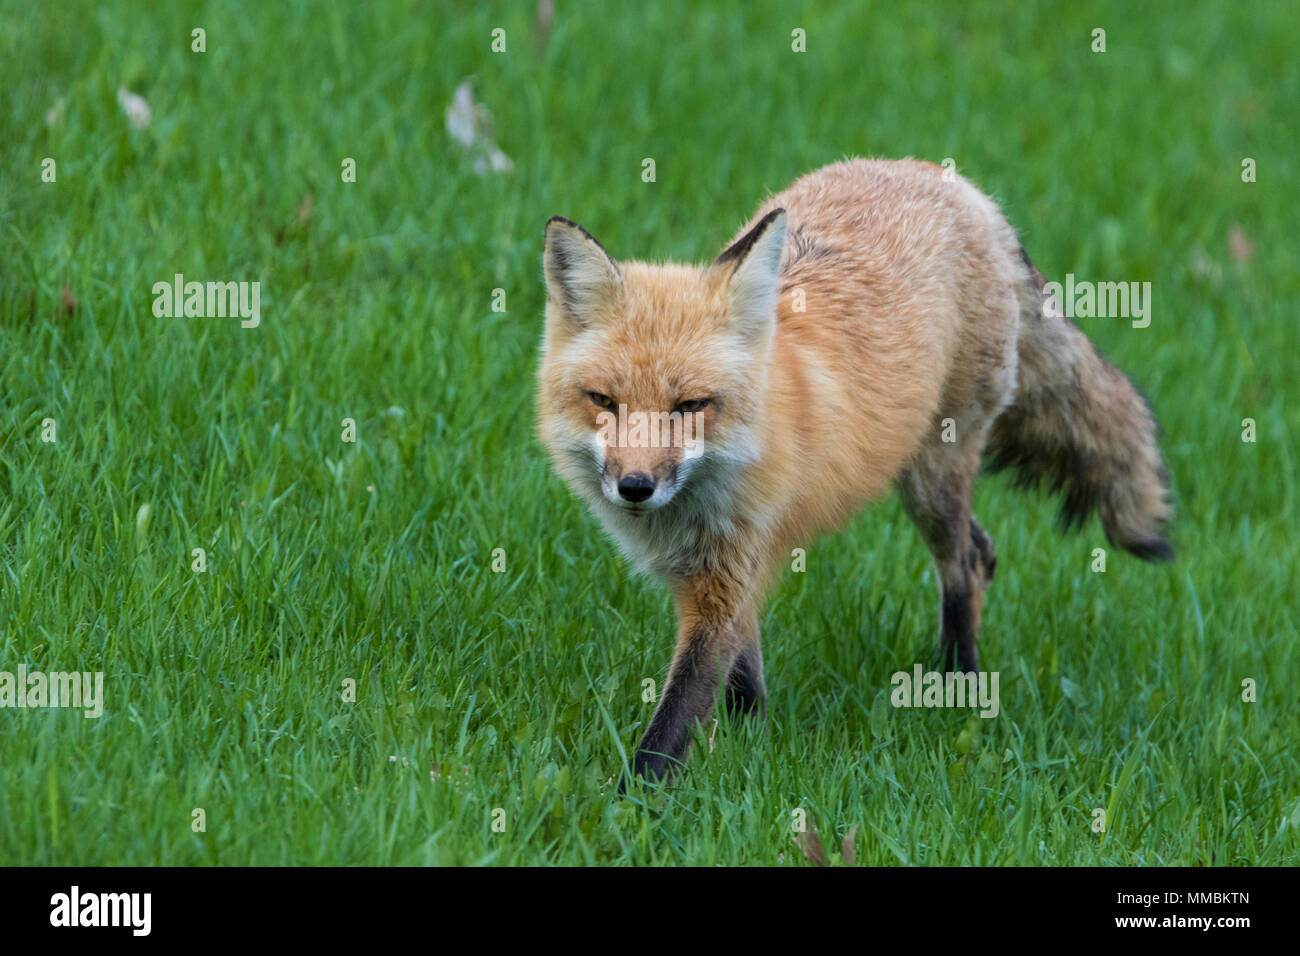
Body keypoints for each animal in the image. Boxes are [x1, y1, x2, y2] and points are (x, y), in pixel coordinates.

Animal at [536, 158, 1173, 791]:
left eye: (690, 406)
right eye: (603, 401)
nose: (634, 488)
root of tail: (956, 186)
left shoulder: (728, 574)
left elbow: (678, 711)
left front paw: (633, 799)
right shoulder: (732, 570)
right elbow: (743, 672)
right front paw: (750, 743)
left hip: (932, 477)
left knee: (967, 562)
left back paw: (959, 688)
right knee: (986, 548)